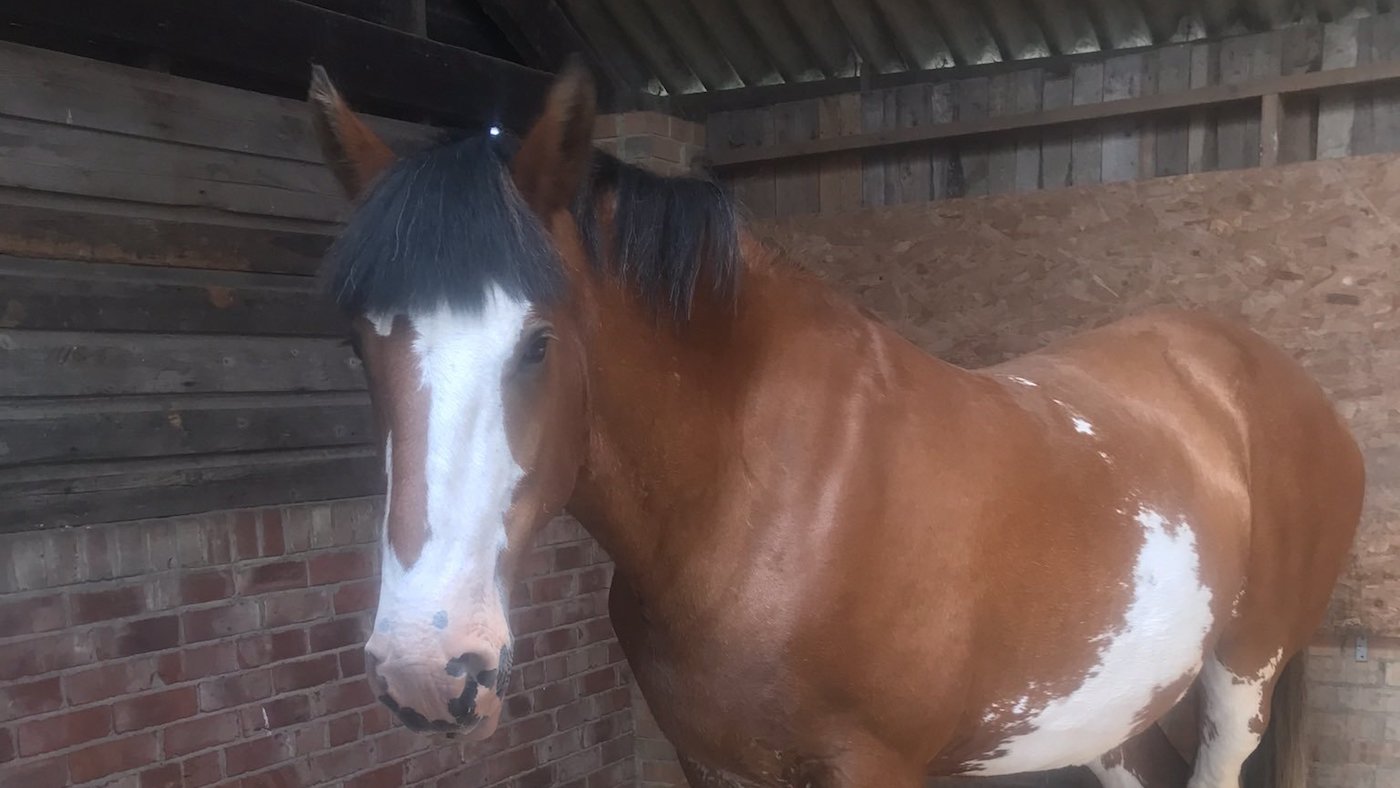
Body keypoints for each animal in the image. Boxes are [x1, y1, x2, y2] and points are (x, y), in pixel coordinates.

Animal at [305, 61, 1365, 788]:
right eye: (358, 344)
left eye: (537, 341)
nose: (428, 670)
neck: (768, 500)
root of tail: (1266, 375)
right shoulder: (711, 764)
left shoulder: (874, 768)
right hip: (1119, 705)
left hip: (1242, 677)